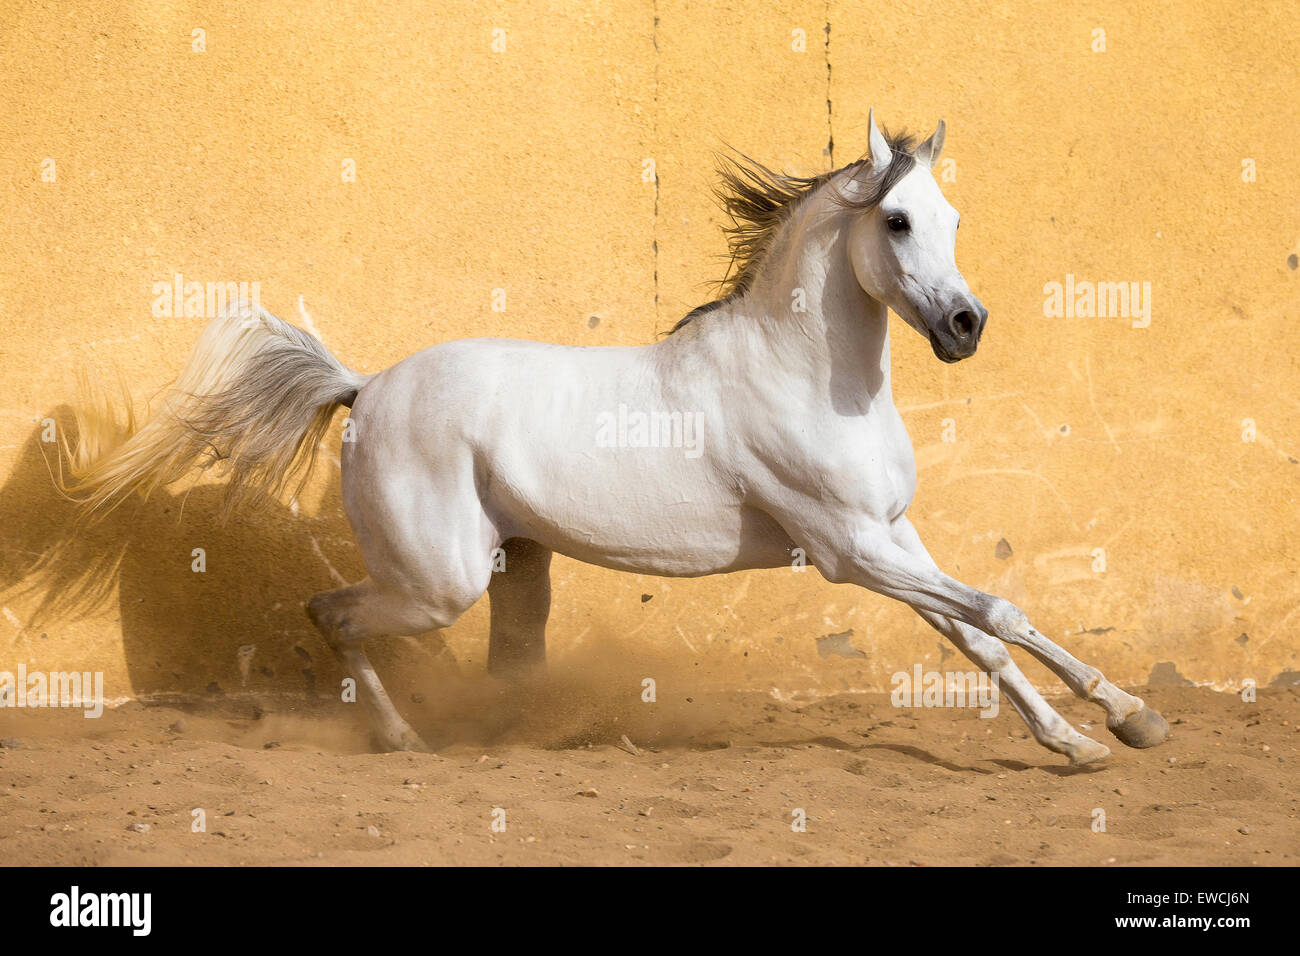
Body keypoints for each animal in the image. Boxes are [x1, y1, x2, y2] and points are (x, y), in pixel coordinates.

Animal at [56, 110, 1169, 763]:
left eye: (952, 215)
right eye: (896, 221)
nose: (965, 327)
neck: (805, 376)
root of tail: (366, 388)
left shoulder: (893, 532)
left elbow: (978, 632)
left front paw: (1089, 735)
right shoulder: (848, 550)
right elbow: (1000, 607)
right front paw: (1124, 719)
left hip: (516, 568)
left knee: (491, 657)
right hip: (438, 580)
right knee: (330, 612)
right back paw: (403, 737)